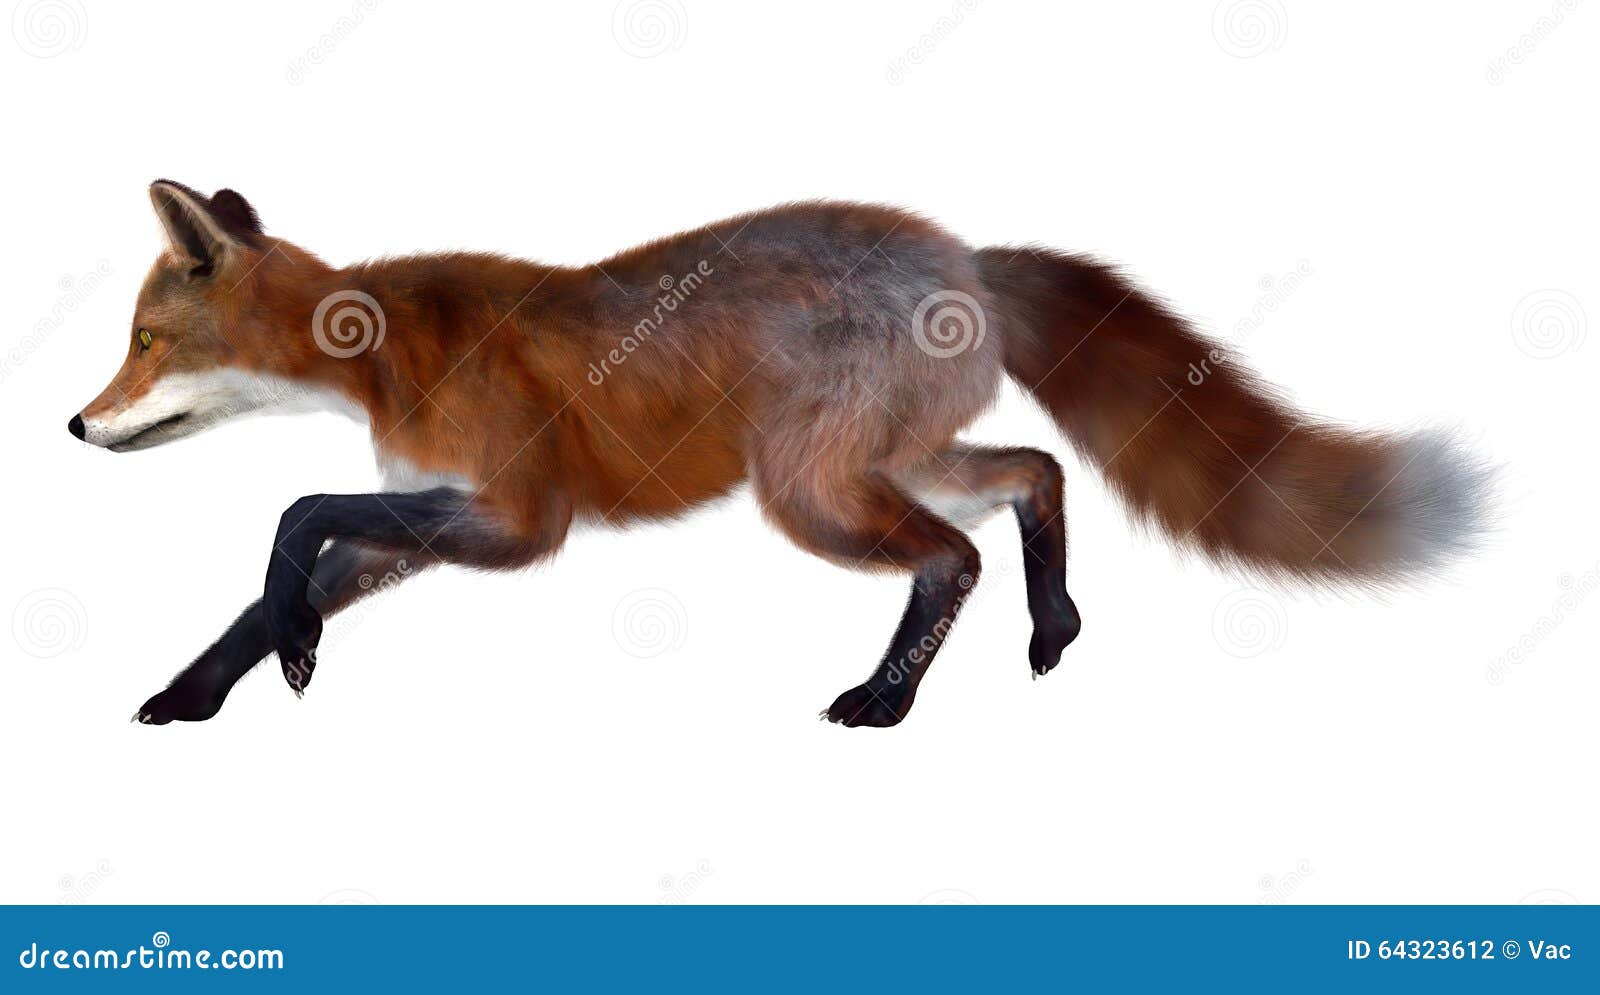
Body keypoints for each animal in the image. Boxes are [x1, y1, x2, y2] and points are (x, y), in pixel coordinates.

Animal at [71, 180, 1493, 728]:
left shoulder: (520, 522)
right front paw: (204, 689)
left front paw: (291, 650)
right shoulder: (434, 515)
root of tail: (967, 255)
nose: (74, 426)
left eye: (143, 340)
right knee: (1032, 473)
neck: (389, 354)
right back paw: (1055, 627)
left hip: (812, 492)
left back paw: (888, 699)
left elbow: (294, 514)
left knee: (955, 554)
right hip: (879, 463)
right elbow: (271, 584)